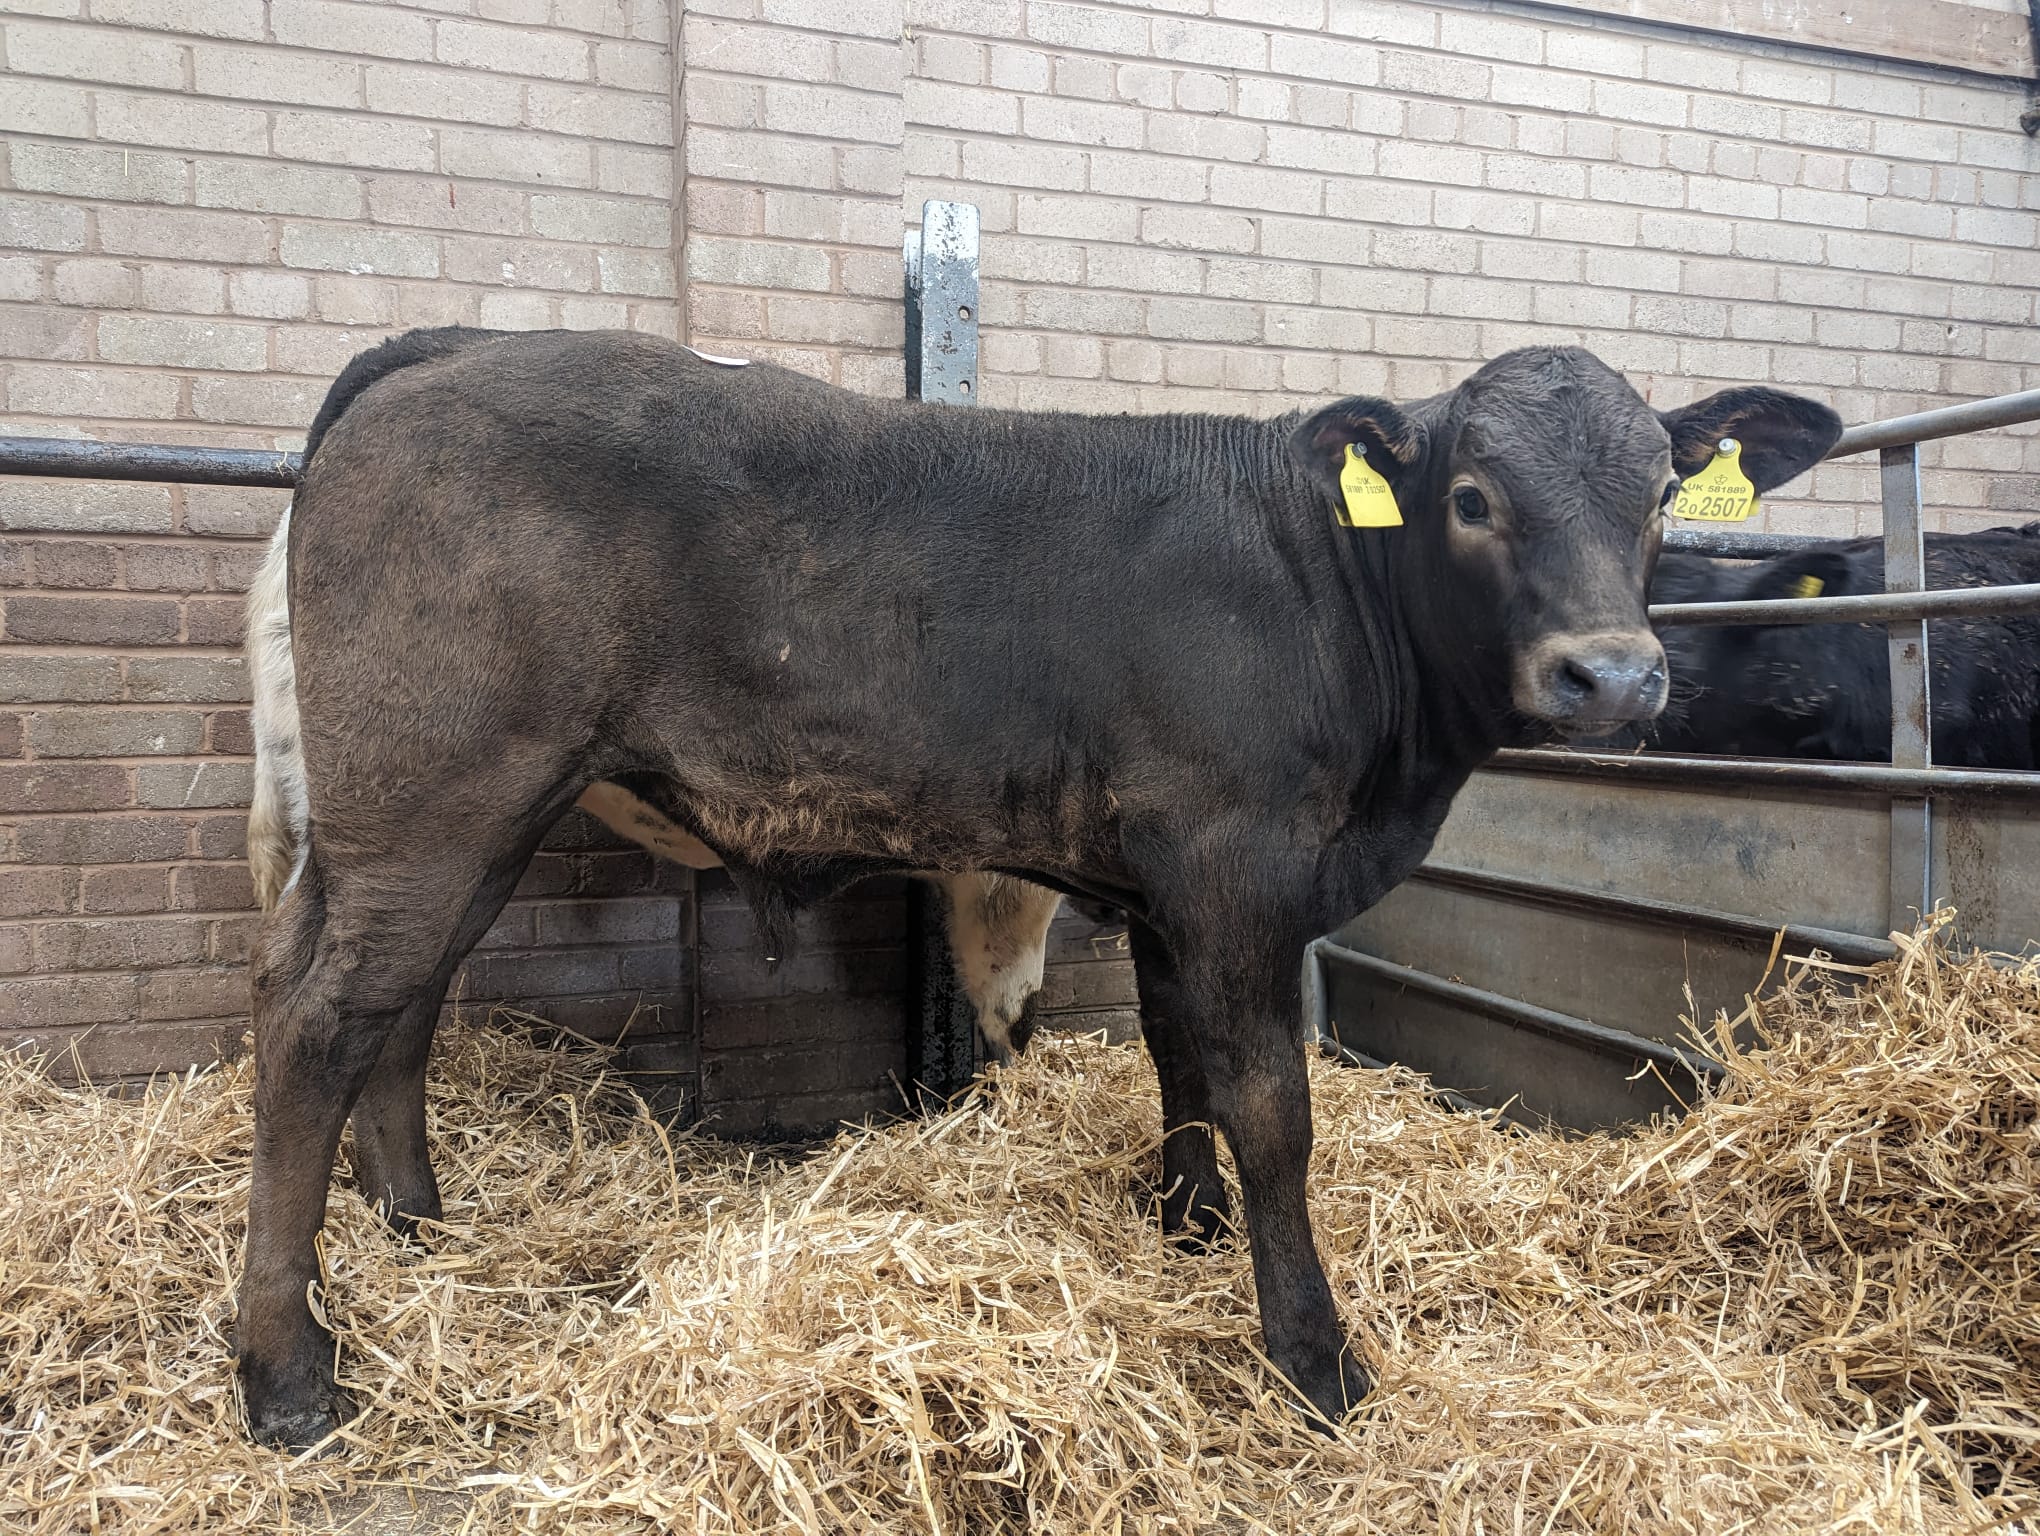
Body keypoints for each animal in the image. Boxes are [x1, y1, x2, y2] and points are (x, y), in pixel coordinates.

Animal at [232, 327, 1839, 1447]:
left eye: (1662, 499)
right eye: (1470, 496)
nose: (1614, 677)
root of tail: (448, 351)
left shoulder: (1170, 889)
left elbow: (1180, 1059)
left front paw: (1186, 1222)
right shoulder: (1236, 867)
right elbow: (1274, 1106)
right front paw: (1314, 1355)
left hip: (457, 822)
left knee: (392, 1006)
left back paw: (418, 1224)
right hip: (433, 801)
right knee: (316, 1023)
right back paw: (286, 1374)